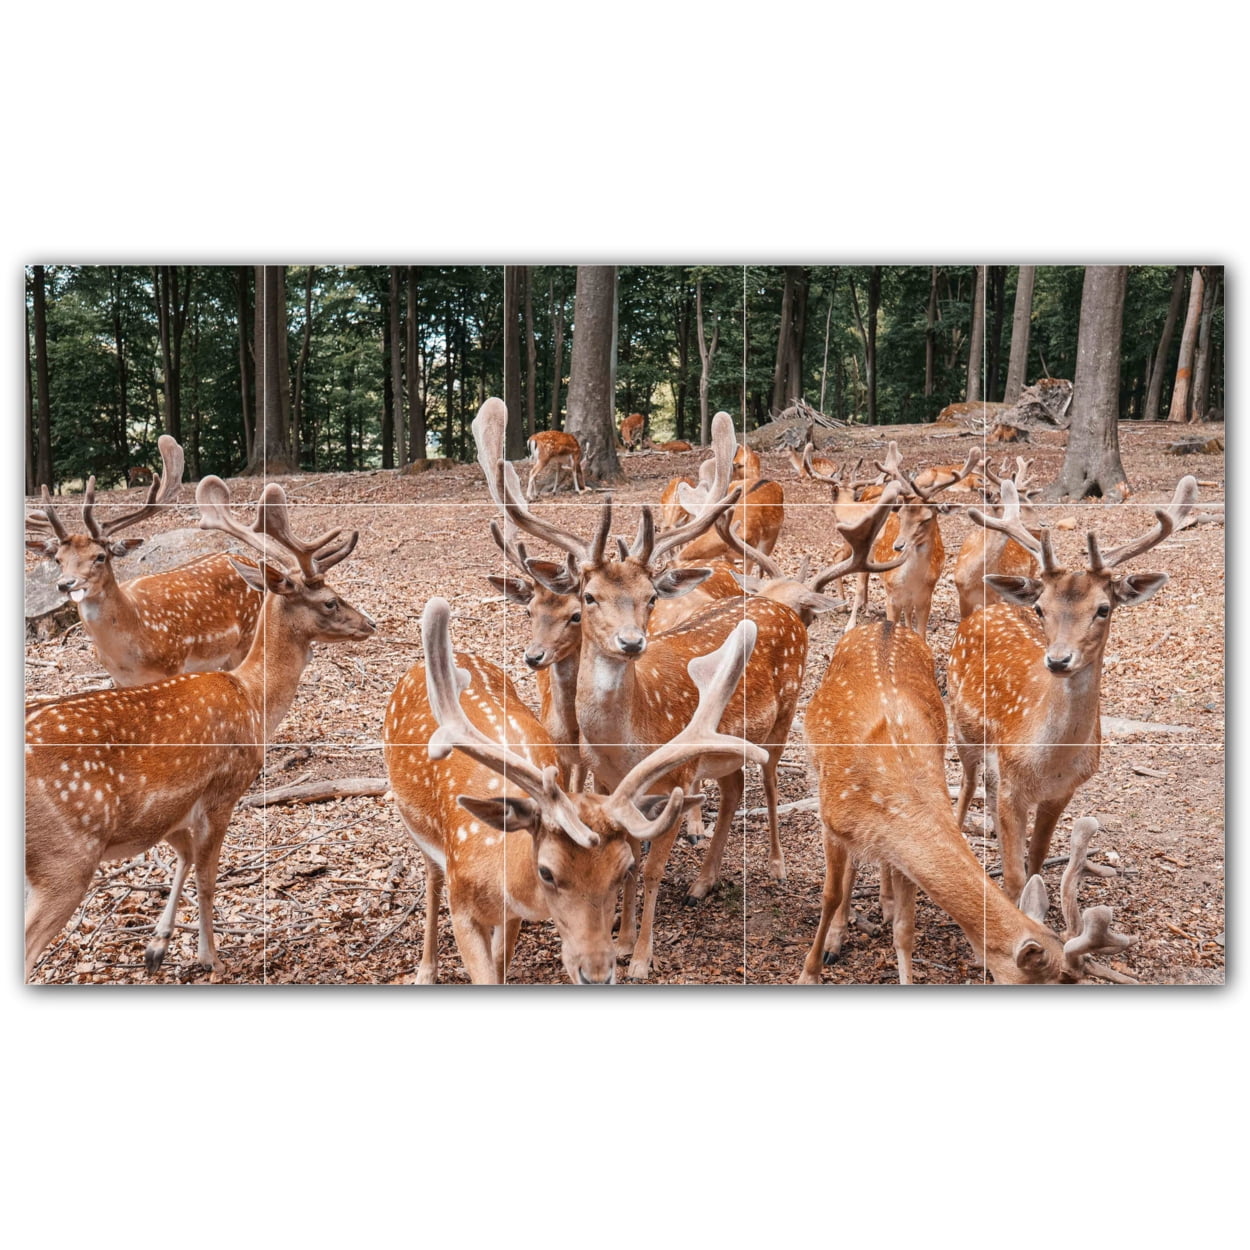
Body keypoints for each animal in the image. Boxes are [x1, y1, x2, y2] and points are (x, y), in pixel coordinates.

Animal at [24, 476, 375, 981]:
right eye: (330, 600)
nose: (370, 623)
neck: (252, 700)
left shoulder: (168, 812)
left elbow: (186, 857)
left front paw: (158, 946)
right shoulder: (222, 790)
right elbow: (208, 877)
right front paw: (210, 956)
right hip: (64, 856)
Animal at [25, 435, 263, 687]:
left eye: (100, 556)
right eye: (58, 560)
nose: (66, 584)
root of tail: (247, 561)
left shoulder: (174, 664)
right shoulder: (119, 679)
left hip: (247, 638)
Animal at [383, 598, 764, 983]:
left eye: (623, 870)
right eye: (547, 872)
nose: (596, 973)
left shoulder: (511, 917)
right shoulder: (461, 906)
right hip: (415, 827)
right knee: (432, 878)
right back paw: (425, 970)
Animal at [799, 619, 1135, 983]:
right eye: (1053, 980)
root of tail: (884, 623)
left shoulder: (900, 846)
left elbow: (905, 930)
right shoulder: (831, 821)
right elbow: (829, 895)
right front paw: (810, 971)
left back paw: (884, 903)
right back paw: (836, 939)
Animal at [947, 475, 1199, 901]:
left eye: (1103, 608)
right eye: (1040, 608)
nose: (1058, 660)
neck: (1049, 763)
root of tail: (986, 608)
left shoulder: (1063, 792)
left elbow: (1036, 860)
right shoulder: (1014, 787)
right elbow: (1014, 876)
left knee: (987, 790)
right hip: (962, 729)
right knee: (966, 783)